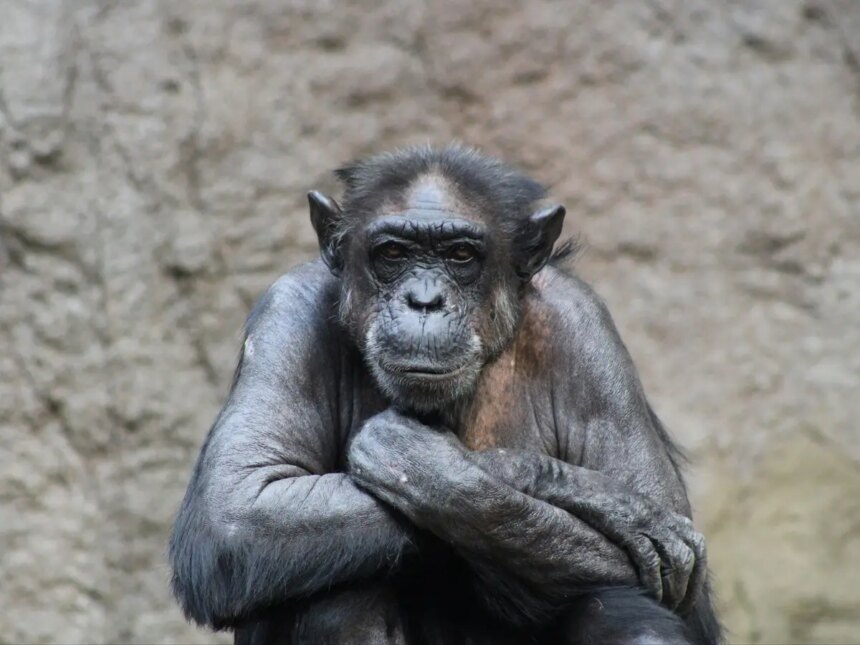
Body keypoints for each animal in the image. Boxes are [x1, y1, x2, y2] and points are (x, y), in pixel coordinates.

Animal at [169, 145, 723, 645]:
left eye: (460, 255)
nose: (425, 300)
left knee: (626, 610)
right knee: (333, 594)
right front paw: (605, 500)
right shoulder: (288, 312)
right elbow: (237, 509)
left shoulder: (585, 331)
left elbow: (677, 577)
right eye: (393, 253)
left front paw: (424, 461)